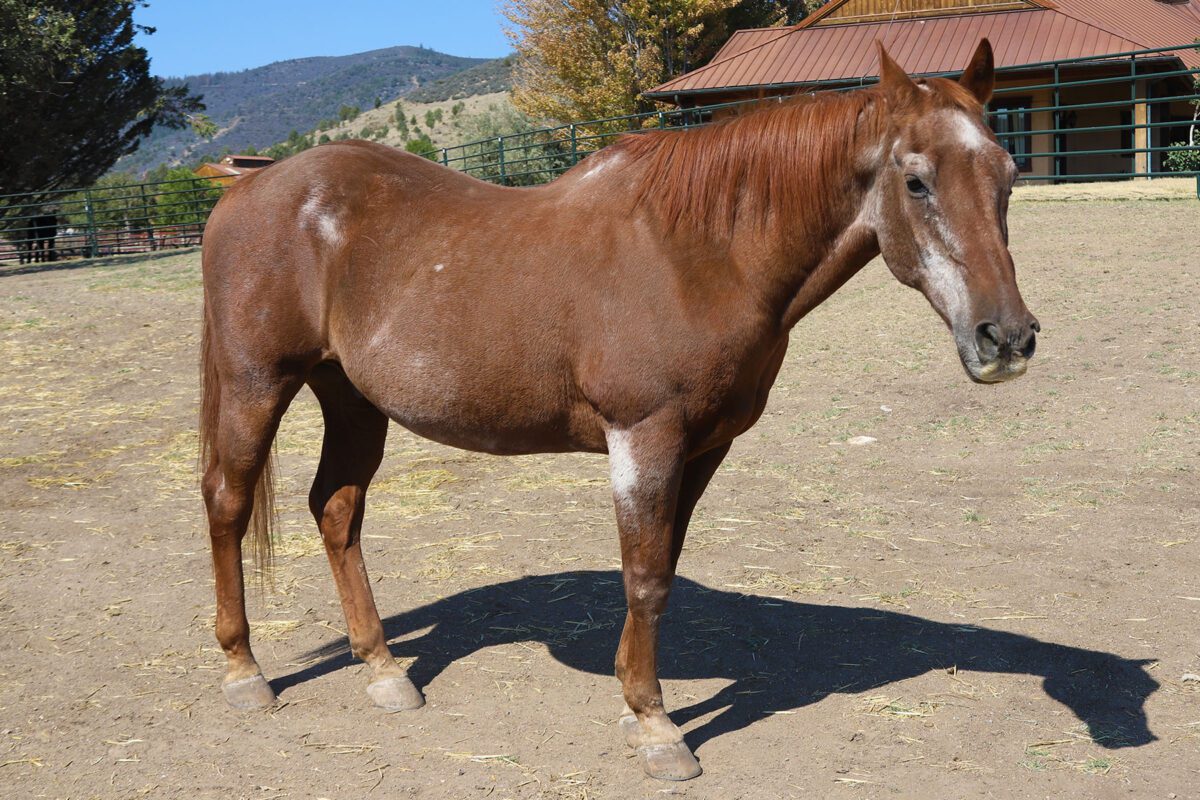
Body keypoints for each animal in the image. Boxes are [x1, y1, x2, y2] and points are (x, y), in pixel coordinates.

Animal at [199, 40, 1038, 781]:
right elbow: (644, 578)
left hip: (350, 397)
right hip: (256, 385)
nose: (1006, 337)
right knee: (228, 503)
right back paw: (244, 672)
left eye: (1007, 173)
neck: (699, 253)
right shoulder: (644, 438)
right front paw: (655, 726)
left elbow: (662, 569)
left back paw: (382, 670)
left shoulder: (703, 447)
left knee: (336, 510)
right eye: (916, 181)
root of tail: (248, 189)